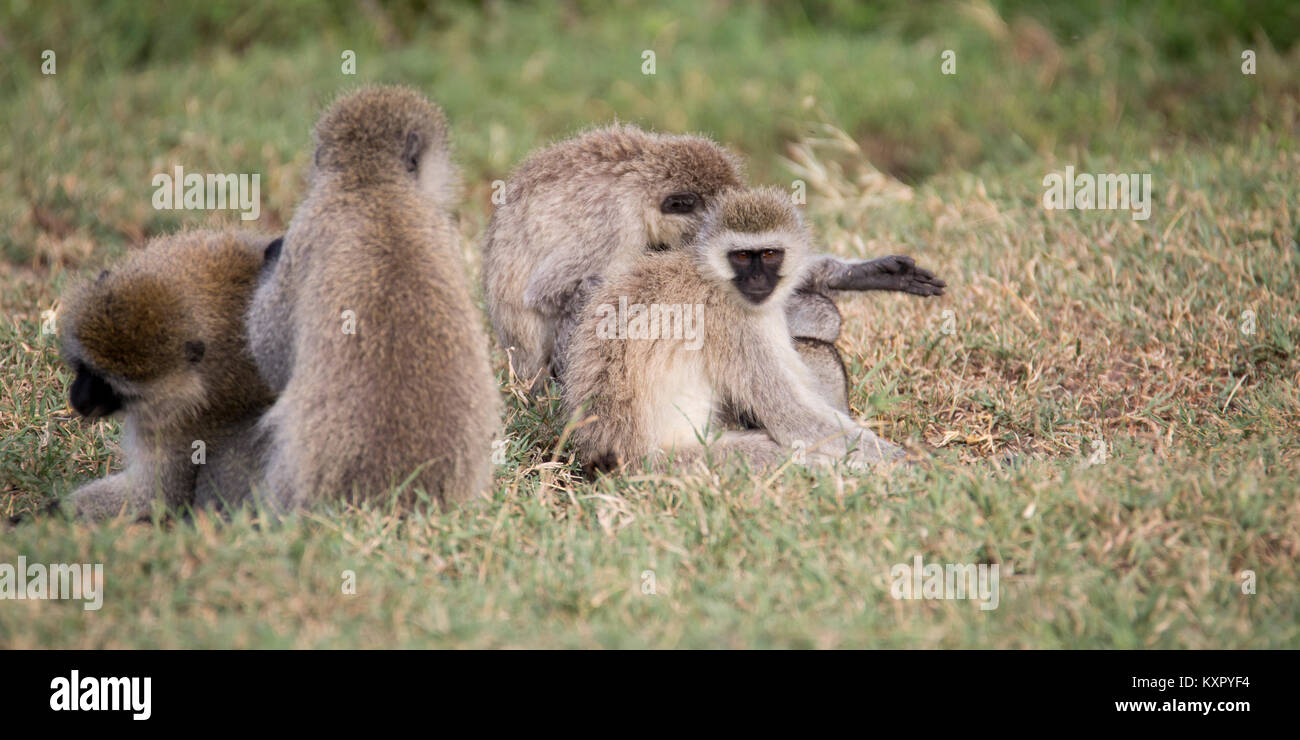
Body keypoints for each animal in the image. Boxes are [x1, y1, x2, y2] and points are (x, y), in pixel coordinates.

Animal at [563, 187, 906, 474]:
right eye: (741, 256)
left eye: (769, 254)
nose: (757, 280)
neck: (713, 276)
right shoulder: (735, 323)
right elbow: (793, 417)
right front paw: (908, 462)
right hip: (688, 460)